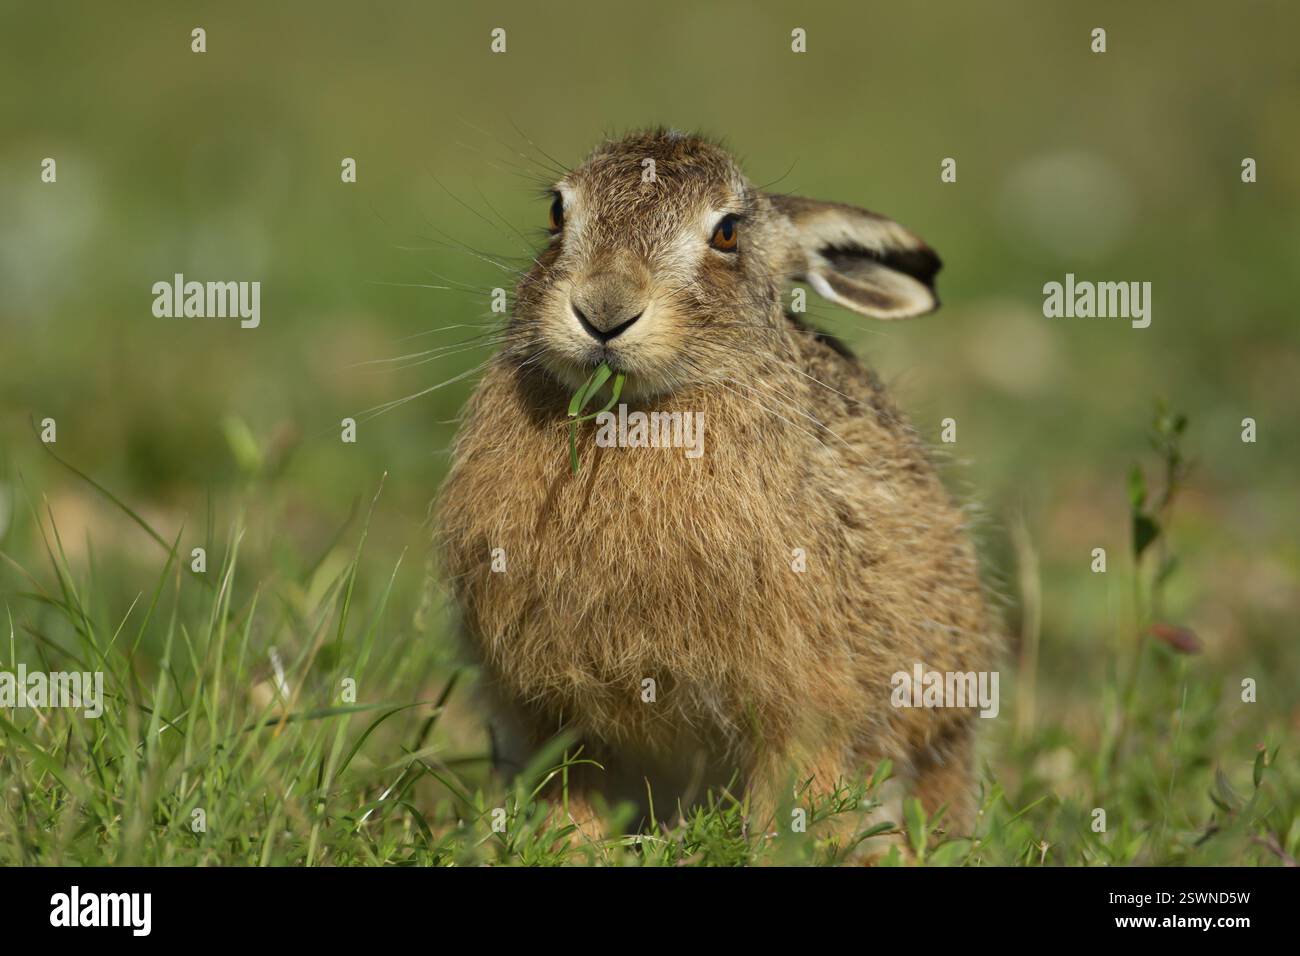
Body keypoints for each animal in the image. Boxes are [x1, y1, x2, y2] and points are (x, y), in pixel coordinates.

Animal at [437, 129, 1000, 842]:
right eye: (558, 213)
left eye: (727, 232)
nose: (604, 310)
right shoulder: (548, 705)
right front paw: (577, 846)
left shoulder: (807, 699)